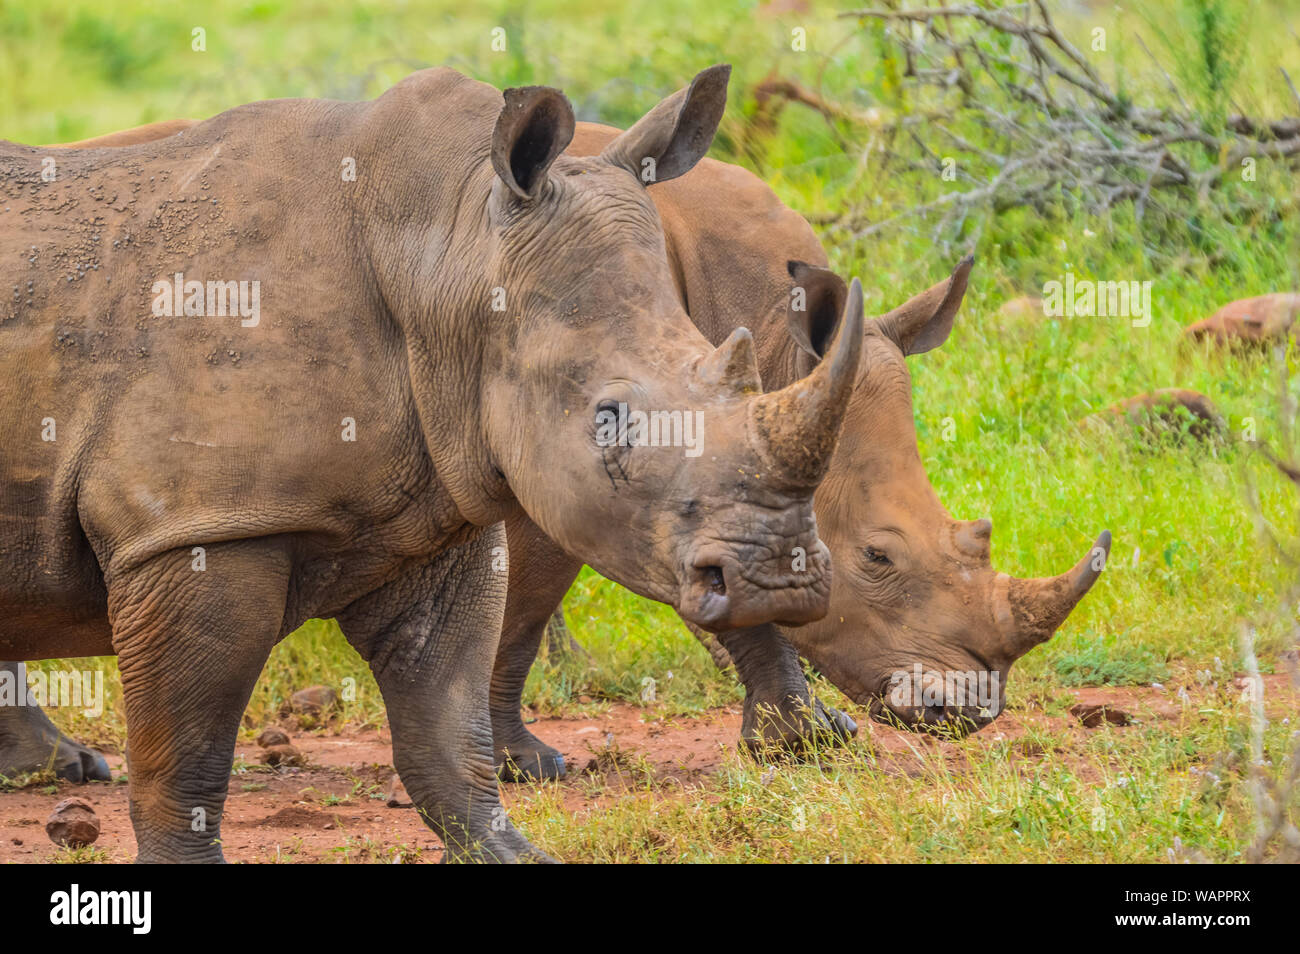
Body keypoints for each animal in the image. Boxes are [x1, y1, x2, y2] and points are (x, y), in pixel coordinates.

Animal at [0, 66, 867, 862]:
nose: (783, 581)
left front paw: (516, 855)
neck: (448, 255)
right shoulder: (195, 526)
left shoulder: (437, 504)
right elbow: (185, 767)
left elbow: (449, 740)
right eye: (610, 420)